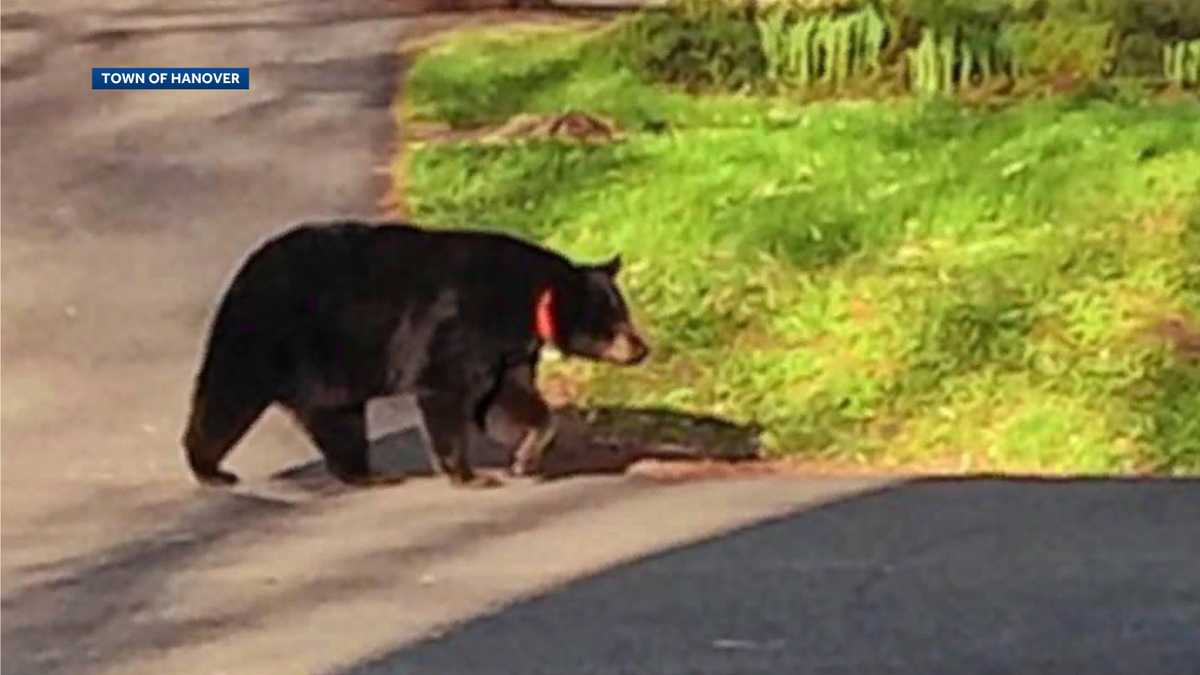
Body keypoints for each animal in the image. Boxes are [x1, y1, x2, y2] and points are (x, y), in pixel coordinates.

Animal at [181, 220, 649, 489]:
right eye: (615, 320)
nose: (642, 348)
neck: (528, 302)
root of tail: (247, 268)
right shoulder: (462, 327)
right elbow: (448, 396)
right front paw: (467, 474)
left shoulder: (509, 353)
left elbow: (506, 402)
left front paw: (525, 458)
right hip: (271, 334)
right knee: (228, 395)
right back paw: (210, 469)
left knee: (337, 417)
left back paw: (364, 474)